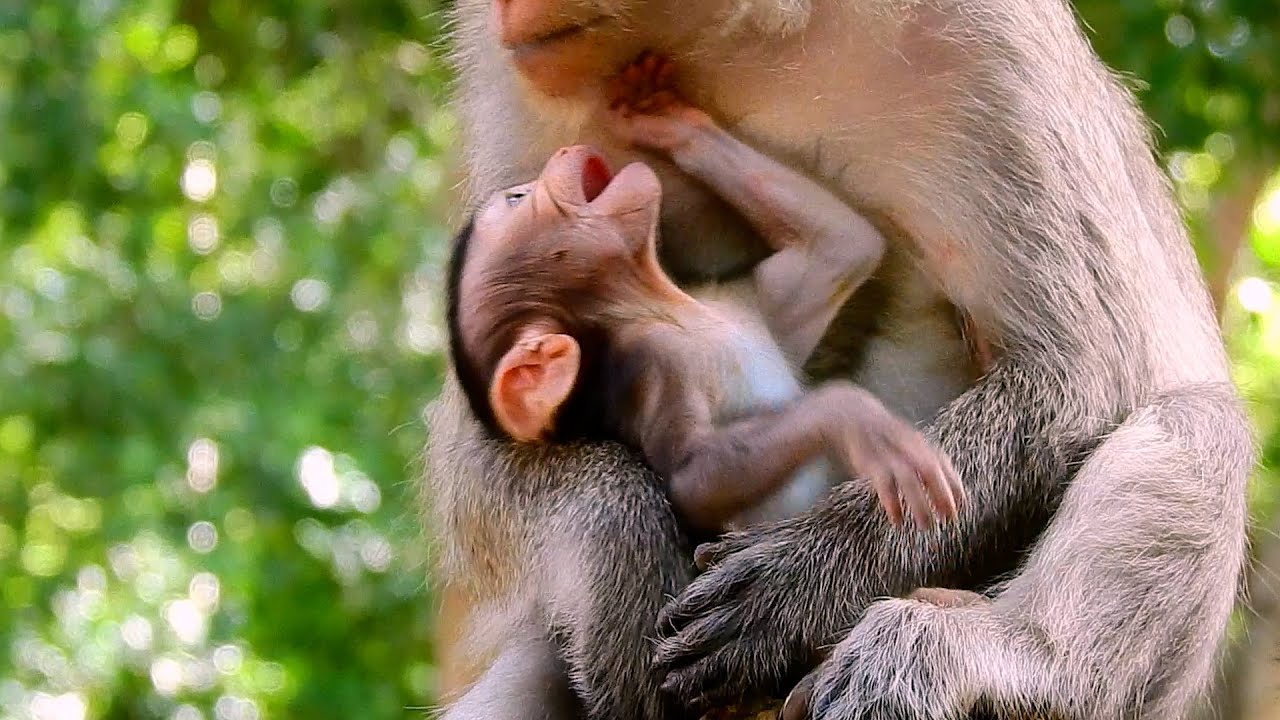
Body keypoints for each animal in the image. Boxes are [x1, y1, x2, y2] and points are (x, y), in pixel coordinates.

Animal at [446, 66, 964, 535]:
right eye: (517, 198)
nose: (561, 153)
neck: (666, 305)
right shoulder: (651, 364)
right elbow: (692, 477)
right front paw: (852, 416)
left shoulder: (748, 296)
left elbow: (843, 248)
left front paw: (662, 117)